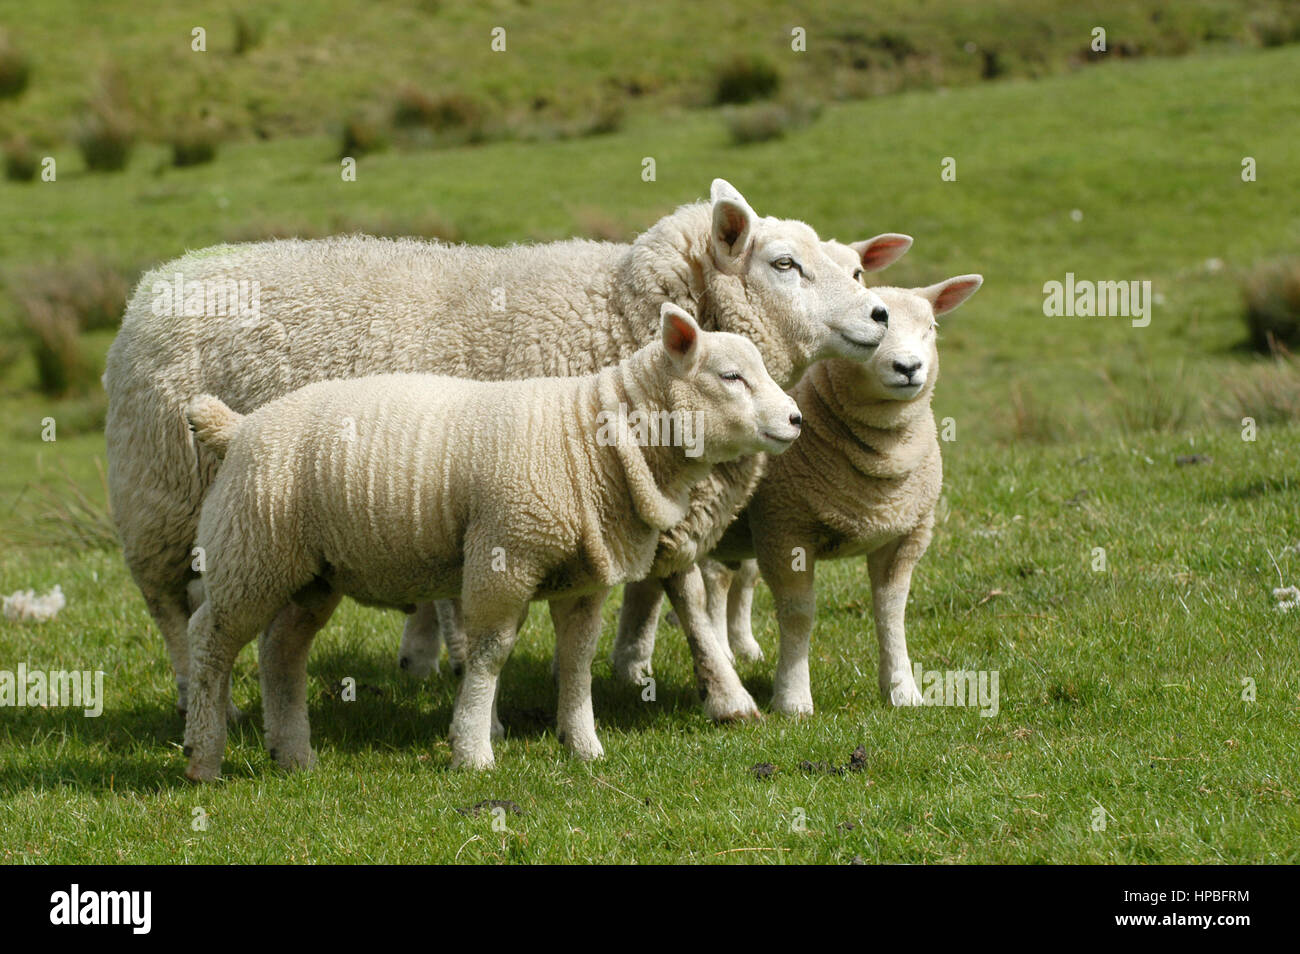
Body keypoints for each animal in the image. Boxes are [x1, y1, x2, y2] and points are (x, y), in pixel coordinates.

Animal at [105, 178, 893, 722]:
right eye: (784, 264)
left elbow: (675, 593)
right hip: (160, 494)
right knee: (172, 607)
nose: (881, 314)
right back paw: (203, 700)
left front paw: (685, 683)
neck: (624, 321)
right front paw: (729, 696)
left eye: (854, 269)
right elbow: (688, 596)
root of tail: (160, 280)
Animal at [180, 304, 802, 779]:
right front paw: (473, 750)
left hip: (311, 571)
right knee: (209, 639)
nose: (796, 419)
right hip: (248, 550)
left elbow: (577, 660)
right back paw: (202, 758)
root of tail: (238, 427)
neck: (591, 440)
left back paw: (293, 756)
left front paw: (584, 746)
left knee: (280, 649)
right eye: (731, 376)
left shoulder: (583, 579)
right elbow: (489, 655)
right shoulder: (505, 556)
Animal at [609, 272, 984, 713]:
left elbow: (892, 611)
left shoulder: (906, 534)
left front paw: (902, 690)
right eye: (879, 327)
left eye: (931, 328)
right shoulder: (785, 528)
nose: (908, 367)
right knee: (711, 580)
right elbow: (797, 614)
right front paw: (793, 699)